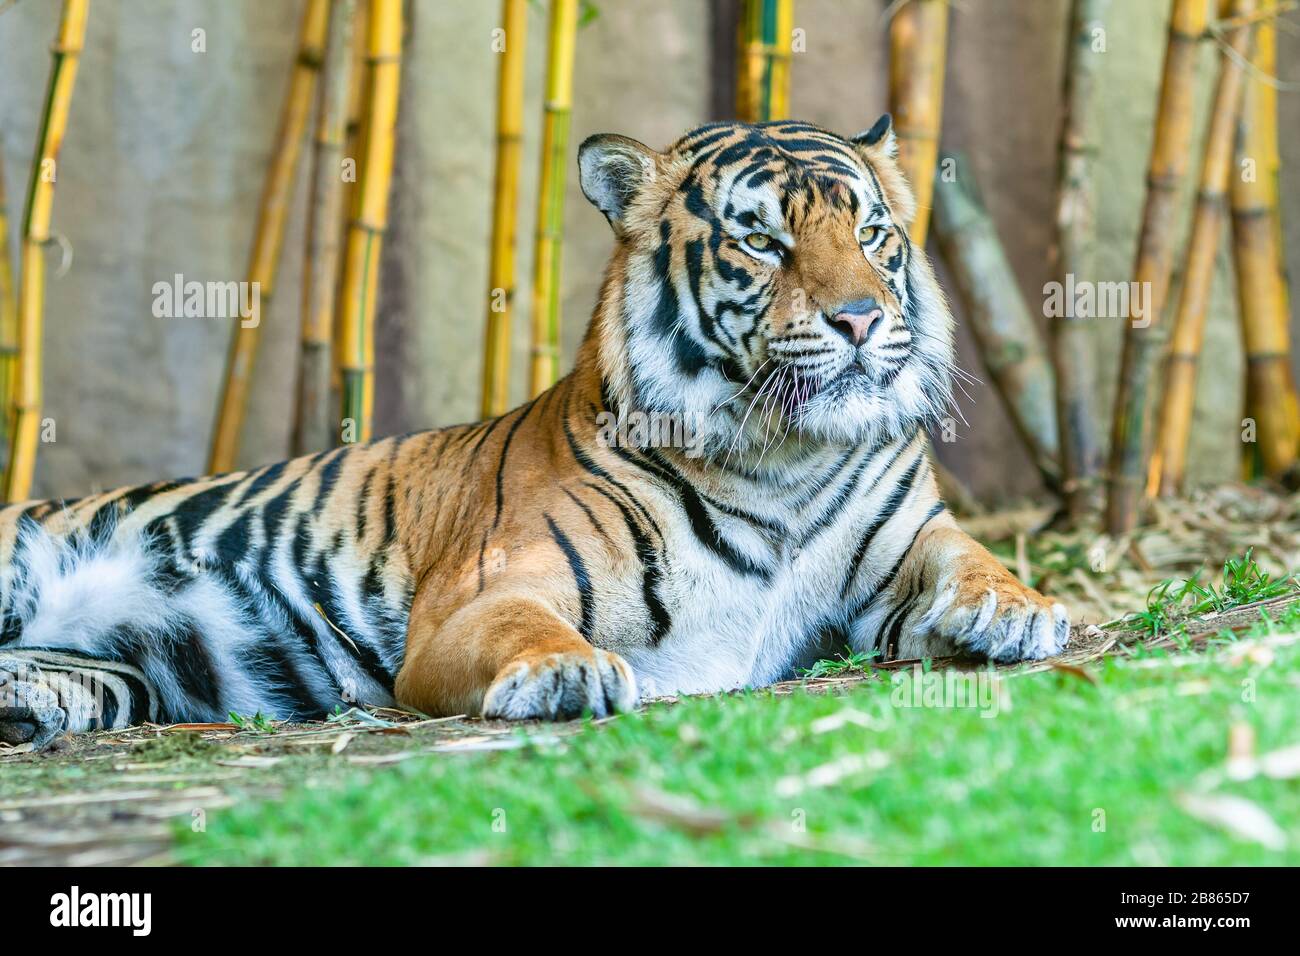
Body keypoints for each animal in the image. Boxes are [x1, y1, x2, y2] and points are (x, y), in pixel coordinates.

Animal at [0, 116, 1069, 752]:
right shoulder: (482, 595)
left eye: (873, 232)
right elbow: (527, 625)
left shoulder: (906, 547)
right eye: (762, 241)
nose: (859, 319)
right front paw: (565, 671)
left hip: (115, 673)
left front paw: (1019, 610)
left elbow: (975, 559)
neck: (783, 464)